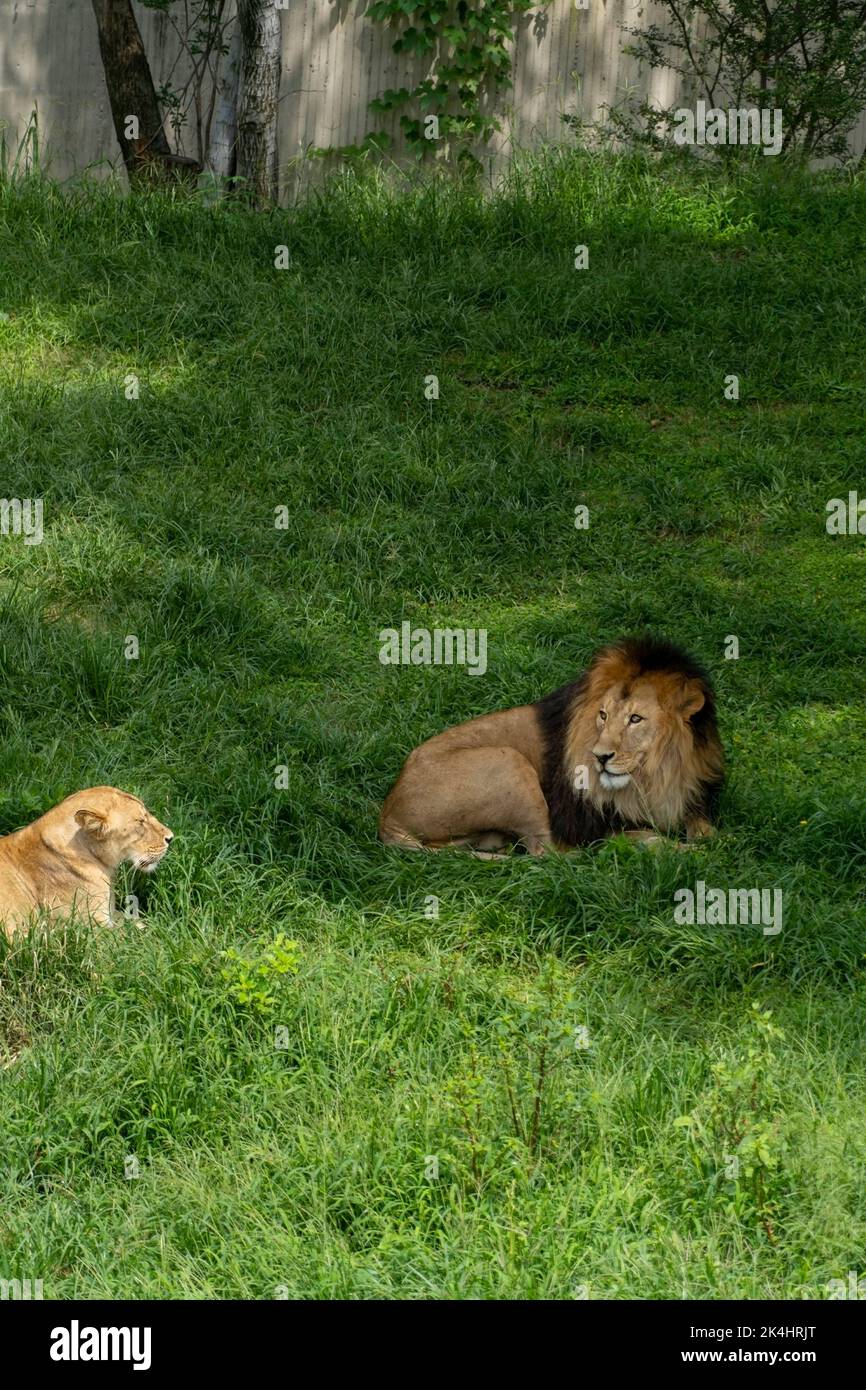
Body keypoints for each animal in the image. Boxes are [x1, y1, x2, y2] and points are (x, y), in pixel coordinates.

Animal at [0, 788, 173, 939]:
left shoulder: (110, 913)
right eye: (140, 821)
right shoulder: (89, 928)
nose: (171, 838)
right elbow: (137, 938)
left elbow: (140, 923)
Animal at [379, 636, 723, 854]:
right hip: (509, 762)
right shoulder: (586, 823)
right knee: (546, 853)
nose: (600, 757)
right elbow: (648, 836)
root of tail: (387, 816)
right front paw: (690, 852)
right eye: (603, 715)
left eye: (635, 719)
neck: (656, 773)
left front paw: (717, 841)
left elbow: (703, 825)